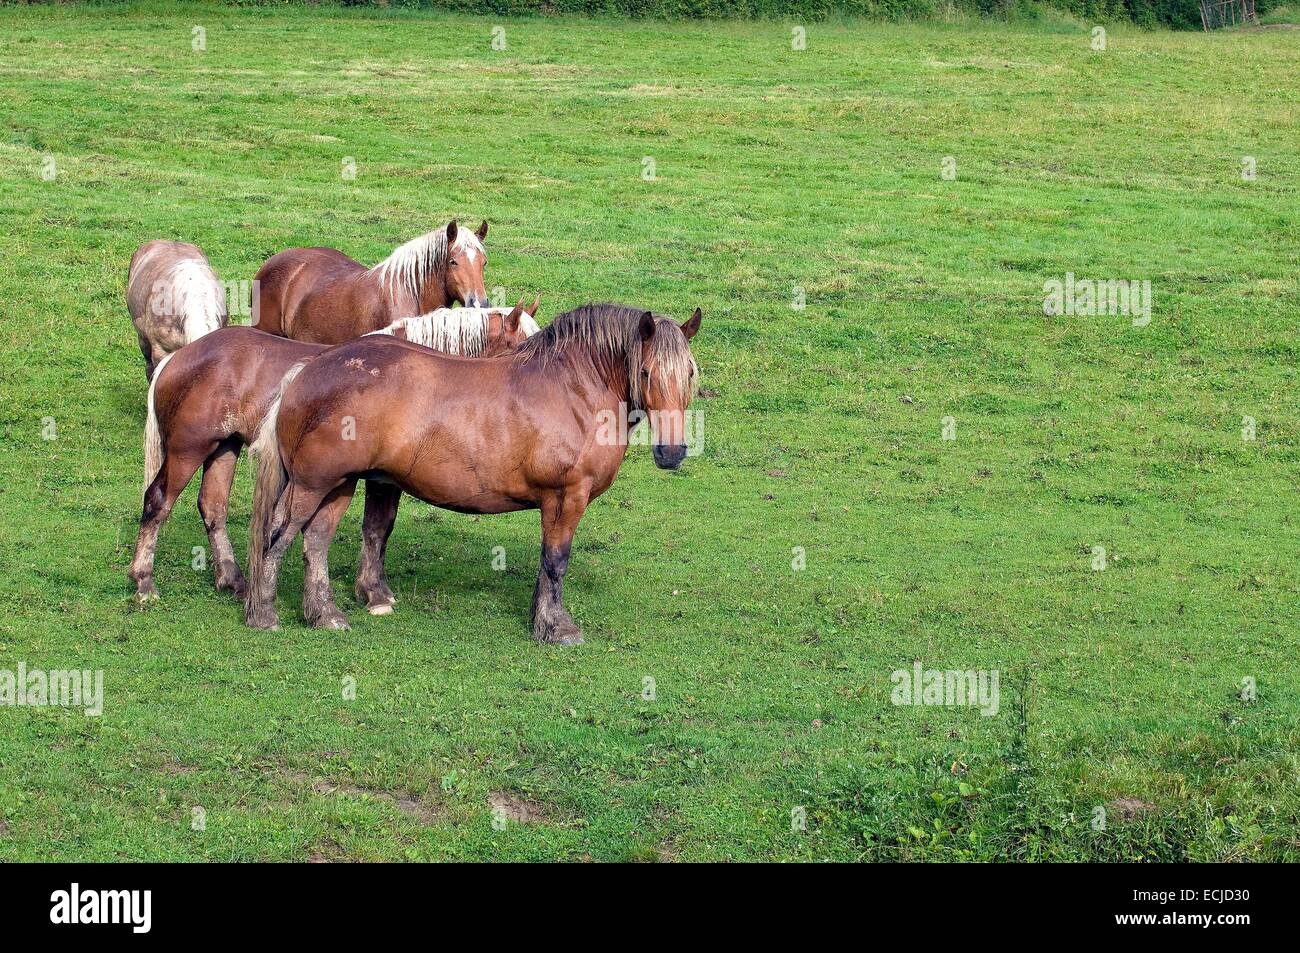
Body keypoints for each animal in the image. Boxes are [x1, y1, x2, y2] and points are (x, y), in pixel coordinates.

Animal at [128, 301, 539, 604]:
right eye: (521, 348)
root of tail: (177, 359)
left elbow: (379, 526)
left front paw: (371, 590)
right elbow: (376, 527)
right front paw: (373, 592)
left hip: (224, 448)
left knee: (213, 508)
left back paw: (233, 580)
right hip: (188, 451)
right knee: (158, 502)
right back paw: (144, 583)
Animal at [243, 303, 702, 645]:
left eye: (690, 373)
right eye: (646, 372)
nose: (672, 452)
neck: (574, 392)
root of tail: (307, 369)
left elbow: (545, 563)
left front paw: (540, 618)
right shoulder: (566, 496)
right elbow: (556, 561)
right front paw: (558, 627)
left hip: (339, 485)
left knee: (316, 542)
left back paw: (324, 614)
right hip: (311, 485)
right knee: (277, 538)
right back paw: (264, 614)